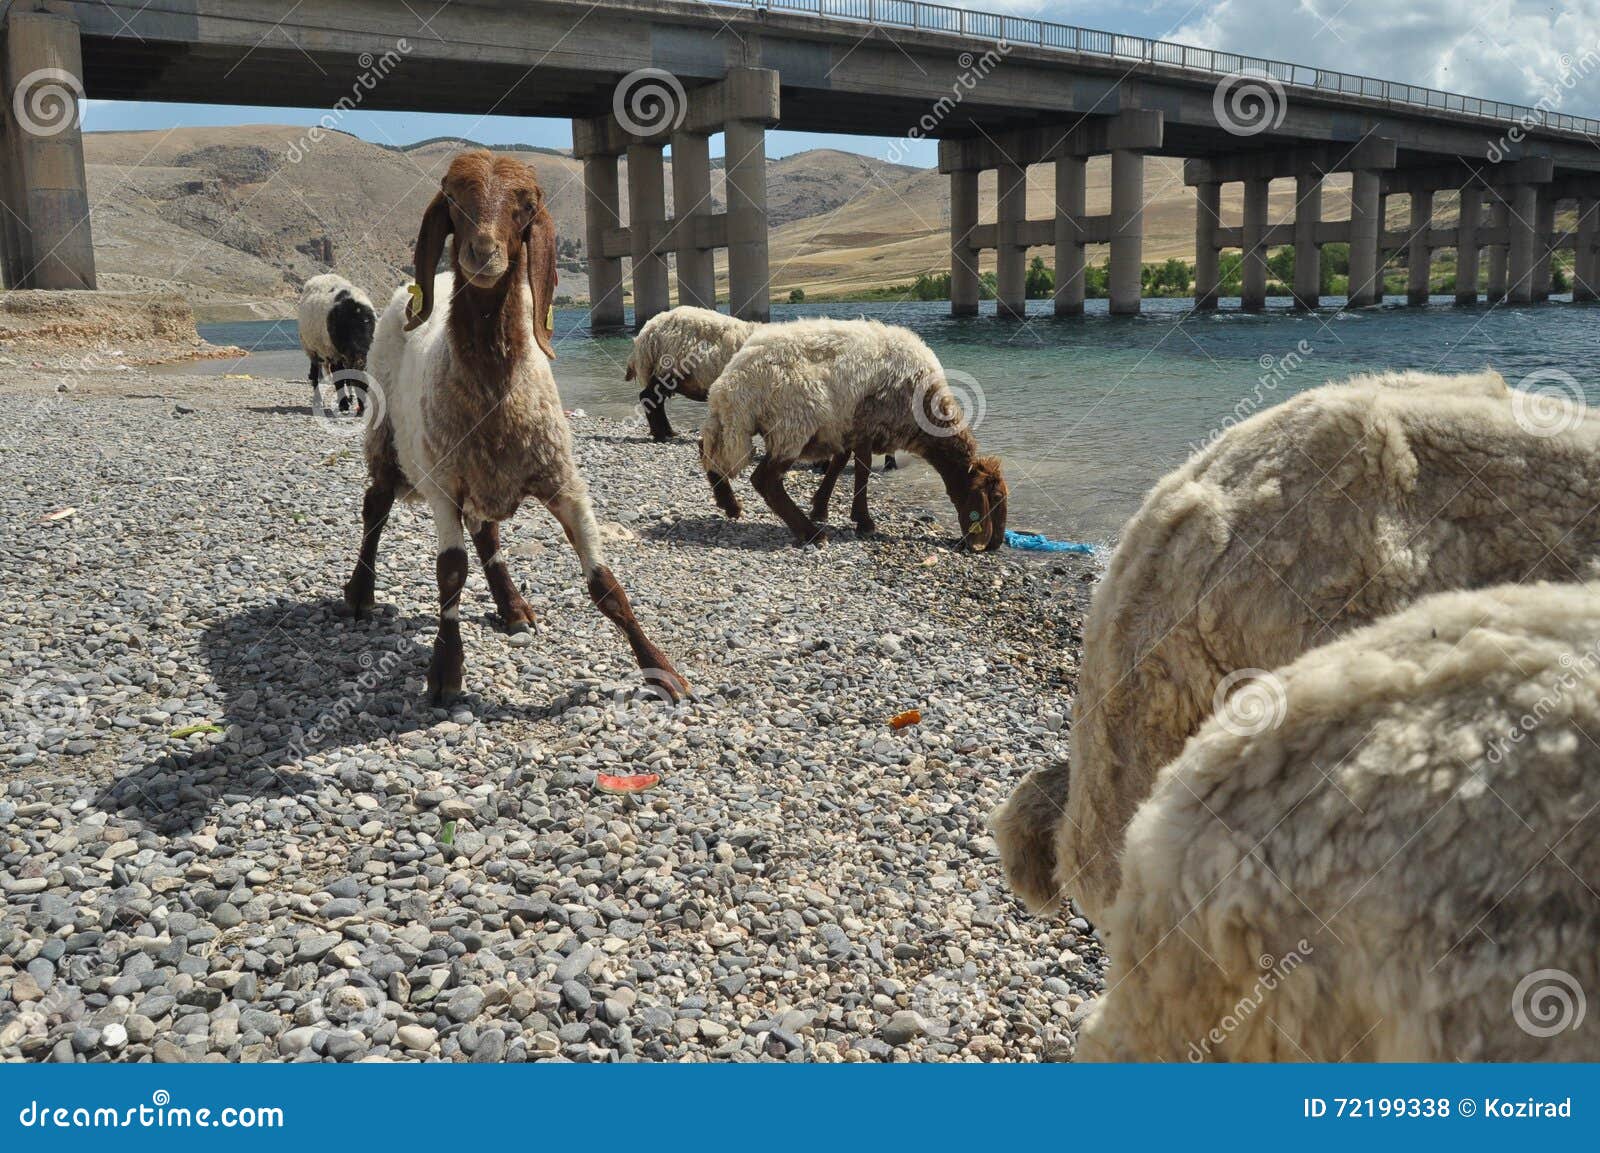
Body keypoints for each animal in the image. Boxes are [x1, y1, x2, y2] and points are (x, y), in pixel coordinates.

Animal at [298, 273, 377, 415]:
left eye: (366, 384)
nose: (361, 411)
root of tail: (322, 276)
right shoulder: (333, 351)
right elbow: (339, 376)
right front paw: (343, 404)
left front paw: (348, 401)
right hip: (311, 348)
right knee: (315, 374)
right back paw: (318, 401)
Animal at [343, 150, 687, 705]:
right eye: (453, 199)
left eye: (526, 207)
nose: (482, 255)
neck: (493, 391)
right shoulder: (443, 484)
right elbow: (450, 574)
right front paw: (446, 669)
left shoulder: (563, 481)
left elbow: (605, 584)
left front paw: (659, 668)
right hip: (386, 433)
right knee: (375, 507)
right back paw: (359, 592)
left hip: (482, 479)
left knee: (487, 536)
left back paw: (512, 606)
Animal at [698, 317, 1007, 549]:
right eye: (995, 498)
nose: (994, 545)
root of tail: (729, 387)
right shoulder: (867, 425)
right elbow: (862, 468)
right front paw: (864, 521)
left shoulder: (845, 428)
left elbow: (839, 463)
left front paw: (821, 507)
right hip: (793, 424)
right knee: (764, 480)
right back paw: (810, 533)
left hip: (736, 426)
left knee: (708, 449)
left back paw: (730, 504)